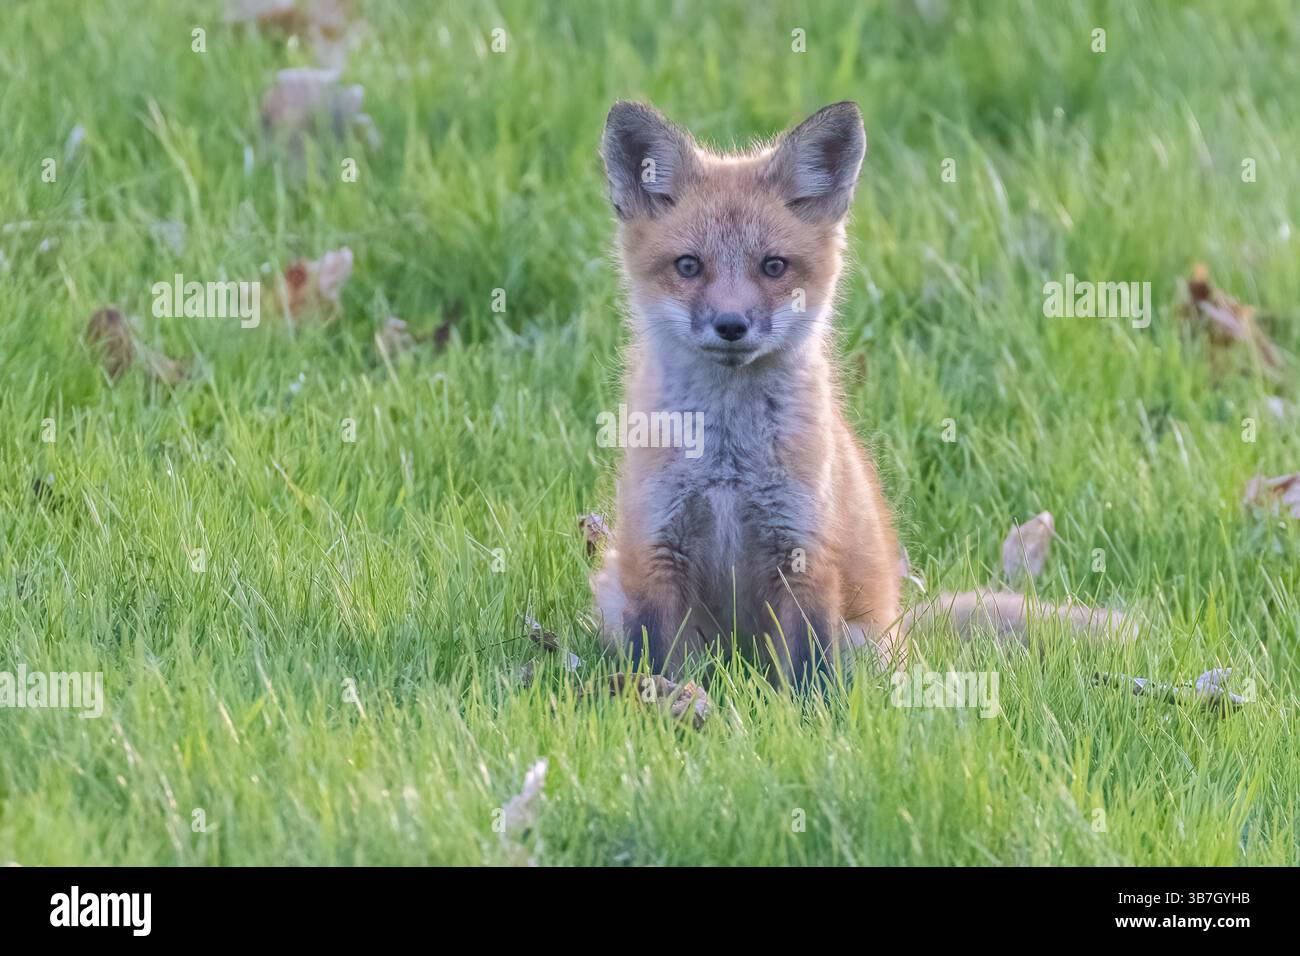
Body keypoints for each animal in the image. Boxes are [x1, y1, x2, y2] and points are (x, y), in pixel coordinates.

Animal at [592, 100, 1131, 684]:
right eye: (688, 266)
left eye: (773, 266)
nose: (731, 325)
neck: (728, 462)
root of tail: (901, 624)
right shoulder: (655, 552)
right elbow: (657, 663)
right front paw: (661, 700)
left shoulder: (805, 553)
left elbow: (809, 673)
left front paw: (804, 712)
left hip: (864, 643)